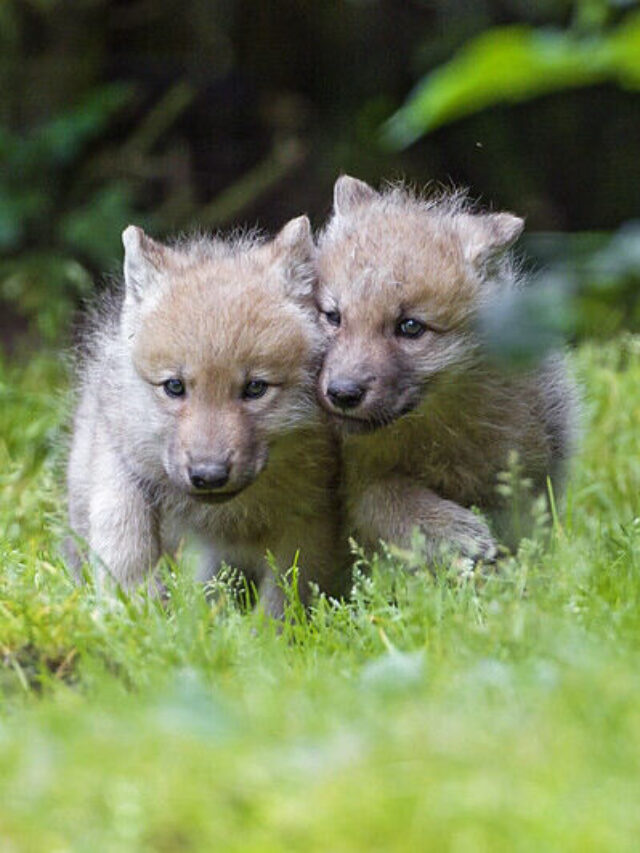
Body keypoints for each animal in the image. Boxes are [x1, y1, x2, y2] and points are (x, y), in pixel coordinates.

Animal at [66, 217, 346, 614]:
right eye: (174, 386)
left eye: (255, 388)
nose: (209, 475)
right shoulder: (121, 458)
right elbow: (126, 542)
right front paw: (133, 612)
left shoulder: (311, 518)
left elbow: (283, 597)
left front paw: (261, 631)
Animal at [315, 176, 577, 564]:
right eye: (333, 317)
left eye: (410, 327)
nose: (342, 393)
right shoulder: (357, 483)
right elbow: (390, 500)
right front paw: (455, 534)